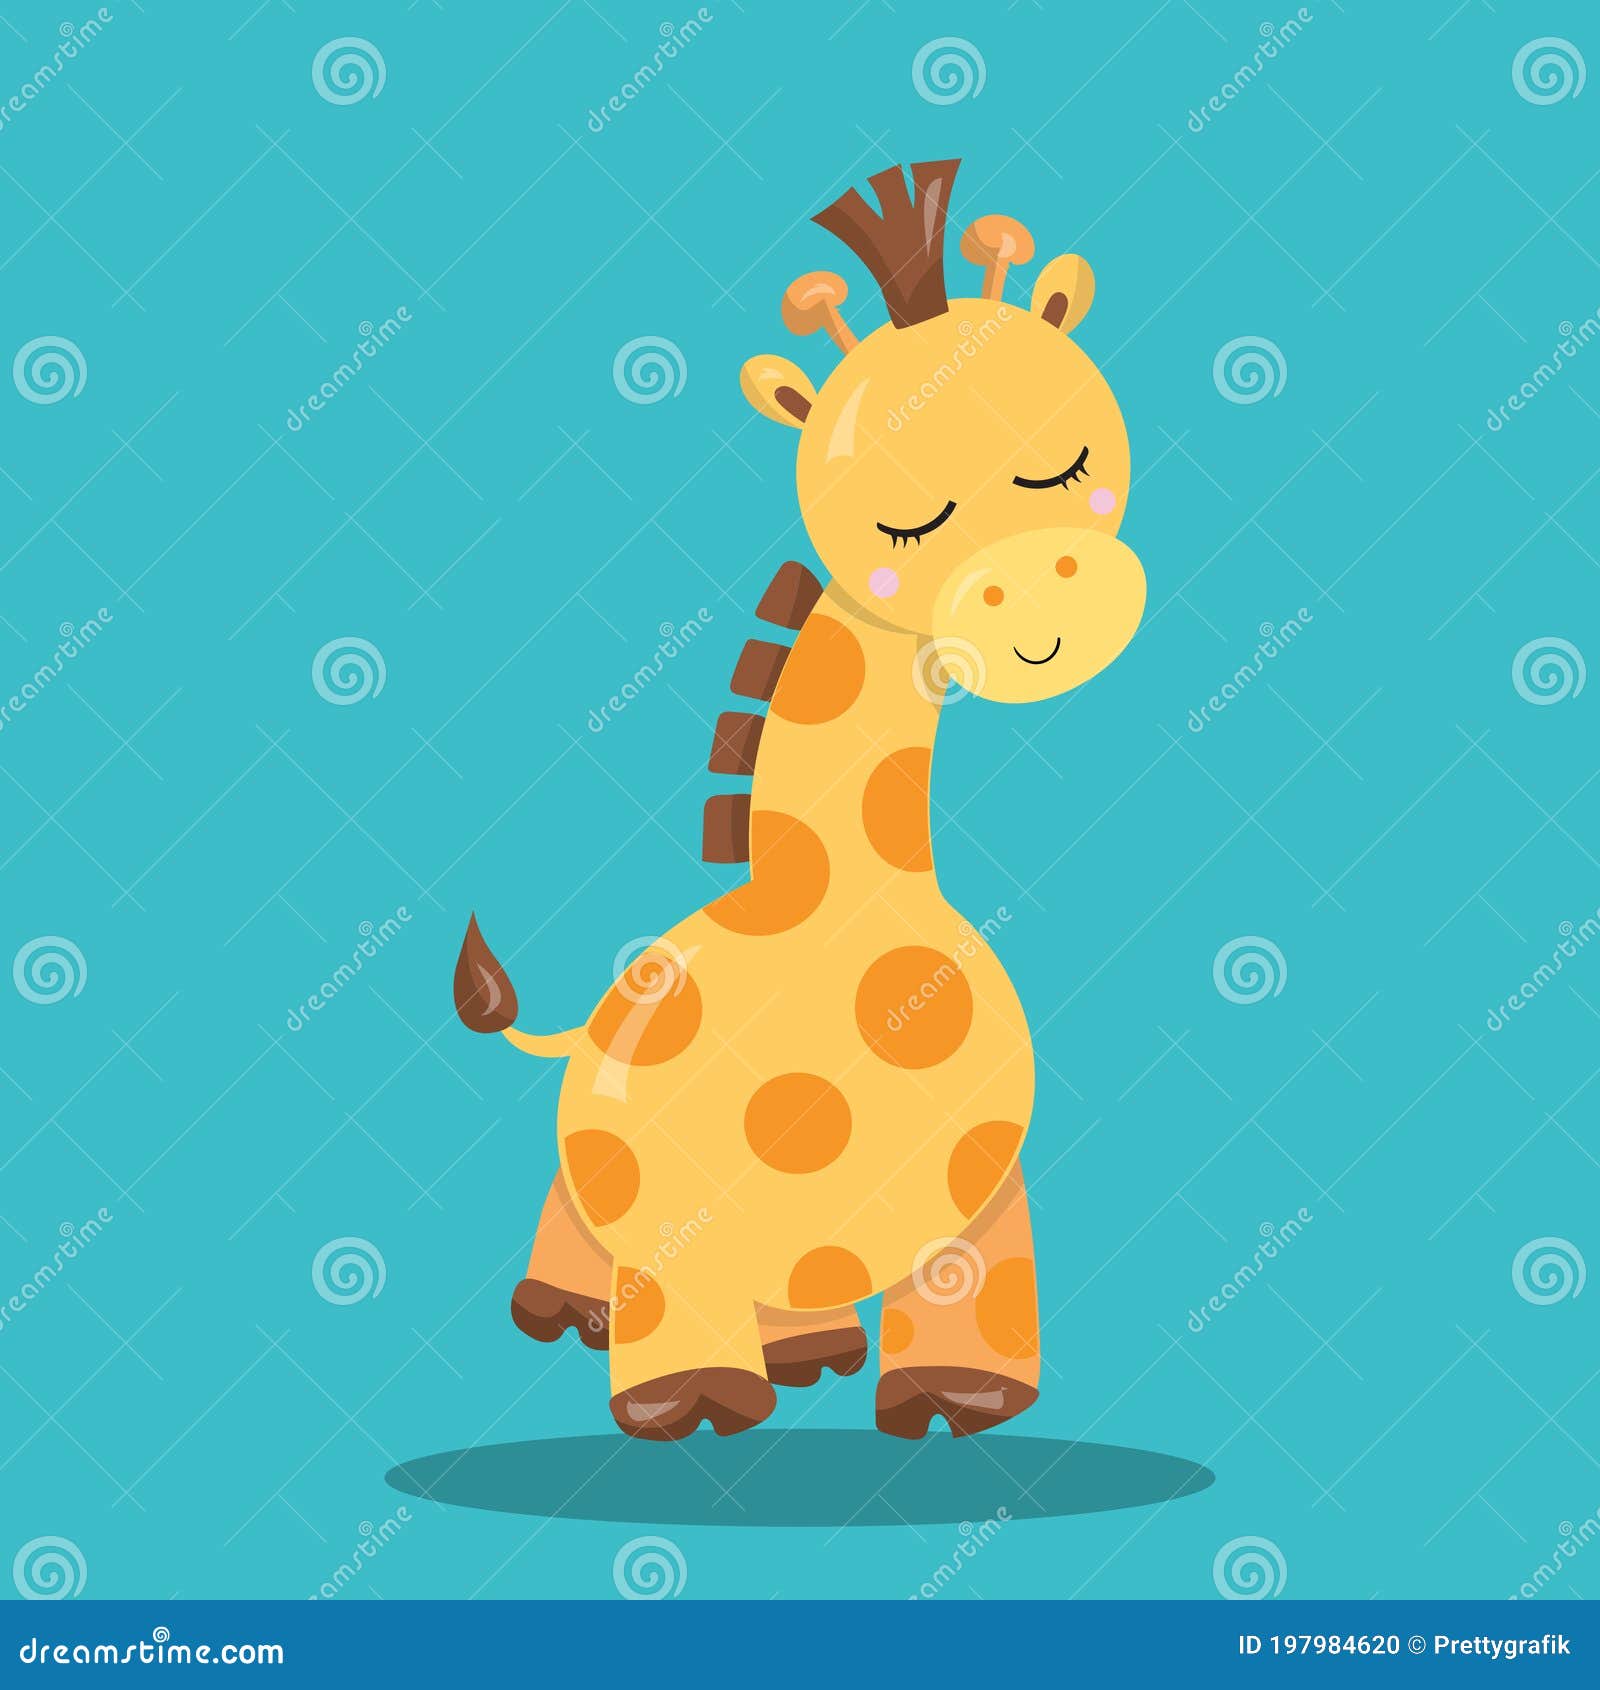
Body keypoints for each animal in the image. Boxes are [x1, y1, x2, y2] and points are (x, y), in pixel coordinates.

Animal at [454, 158, 1146, 1443]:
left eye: (1064, 462)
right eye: (902, 521)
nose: (1039, 591)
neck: (842, 895)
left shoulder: (978, 1189)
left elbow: (973, 1292)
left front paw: (960, 1398)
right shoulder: (677, 1214)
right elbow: (675, 1307)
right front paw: (687, 1404)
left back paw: (811, 1352)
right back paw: (575, 1317)